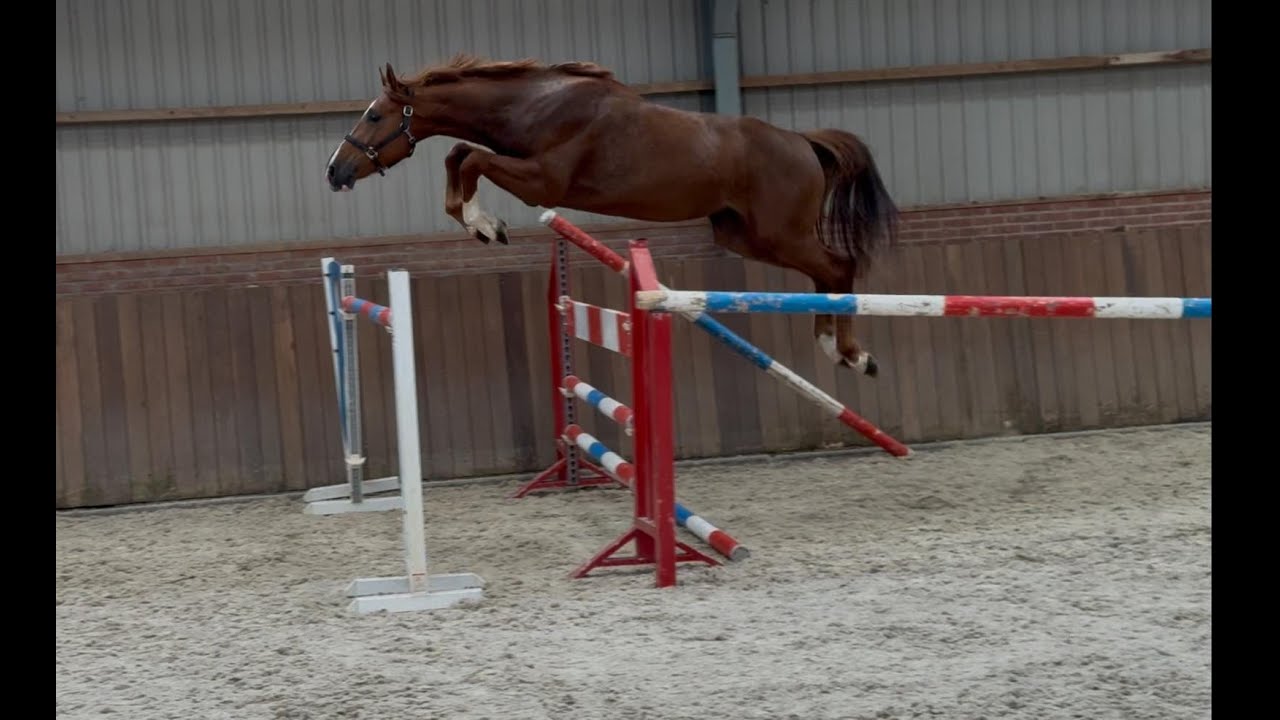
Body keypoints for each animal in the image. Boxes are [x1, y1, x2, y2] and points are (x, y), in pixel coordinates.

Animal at [325, 54, 900, 377]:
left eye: (374, 116)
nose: (335, 171)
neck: (534, 104)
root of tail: (803, 142)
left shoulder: (542, 181)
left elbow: (469, 158)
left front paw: (484, 225)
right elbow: (458, 154)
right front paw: (482, 225)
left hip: (781, 234)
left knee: (839, 266)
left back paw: (851, 354)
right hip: (748, 237)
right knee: (825, 273)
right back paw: (838, 351)